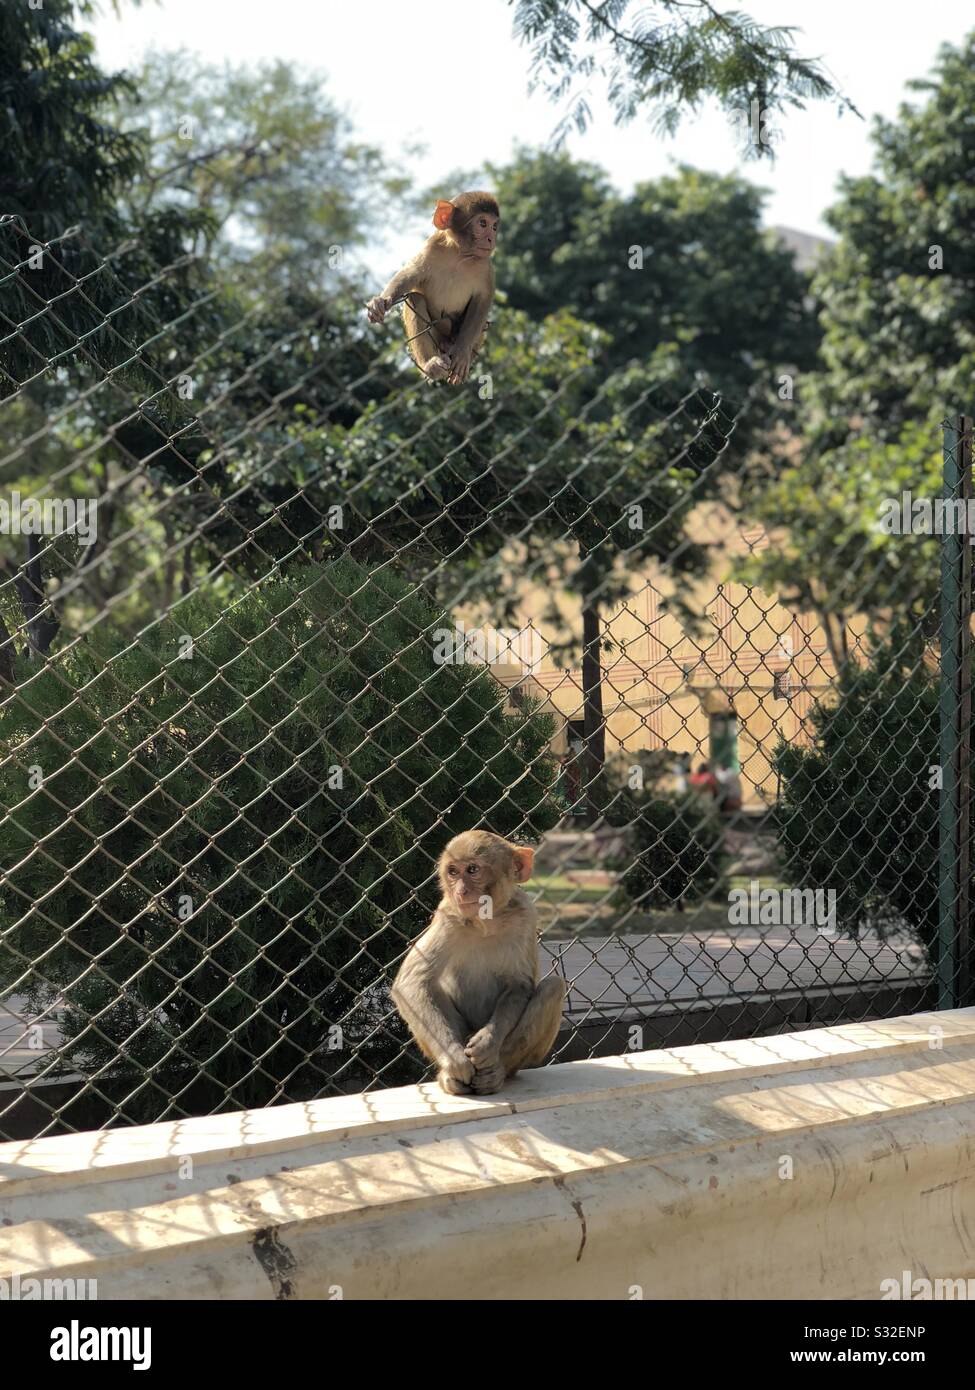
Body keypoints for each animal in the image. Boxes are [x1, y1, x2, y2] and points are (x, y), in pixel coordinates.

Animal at [365, 191, 499, 385]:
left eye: (494, 226)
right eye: (482, 223)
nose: (491, 238)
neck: (459, 255)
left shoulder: (485, 267)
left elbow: (482, 301)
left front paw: (462, 352)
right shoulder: (432, 248)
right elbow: (410, 274)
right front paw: (380, 301)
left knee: (481, 324)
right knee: (415, 299)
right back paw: (430, 366)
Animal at [391, 830, 566, 1096]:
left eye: (473, 870)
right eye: (453, 872)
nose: (461, 892)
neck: (487, 922)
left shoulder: (526, 915)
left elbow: (519, 985)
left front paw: (488, 1042)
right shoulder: (448, 916)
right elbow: (411, 983)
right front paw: (454, 1059)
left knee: (553, 987)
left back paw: (497, 1071)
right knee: (431, 988)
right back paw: (451, 1076)